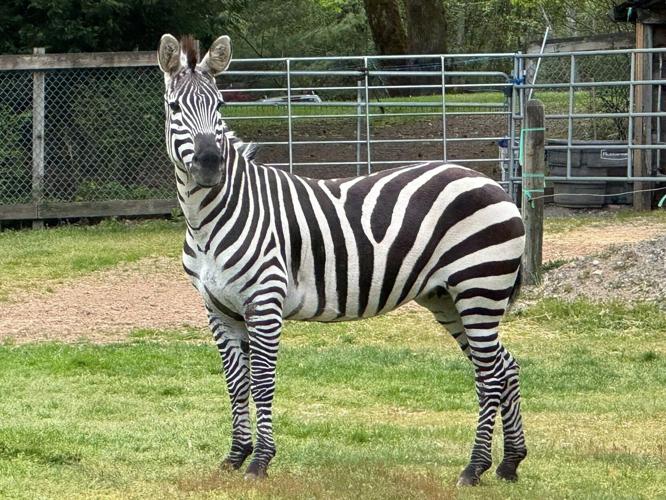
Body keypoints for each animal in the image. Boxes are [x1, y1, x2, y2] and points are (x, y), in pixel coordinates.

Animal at [157, 34, 527, 486]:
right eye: (175, 107)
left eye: (220, 104)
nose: (211, 164)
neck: (209, 219)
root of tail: (493, 184)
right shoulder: (218, 308)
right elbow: (235, 383)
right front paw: (235, 456)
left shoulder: (264, 302)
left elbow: (261, 382)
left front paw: (260, 461)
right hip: (447, 296)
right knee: (504, 366)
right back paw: (509, 463)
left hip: (479, 287)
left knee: (489, 375)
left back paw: (474, 468)